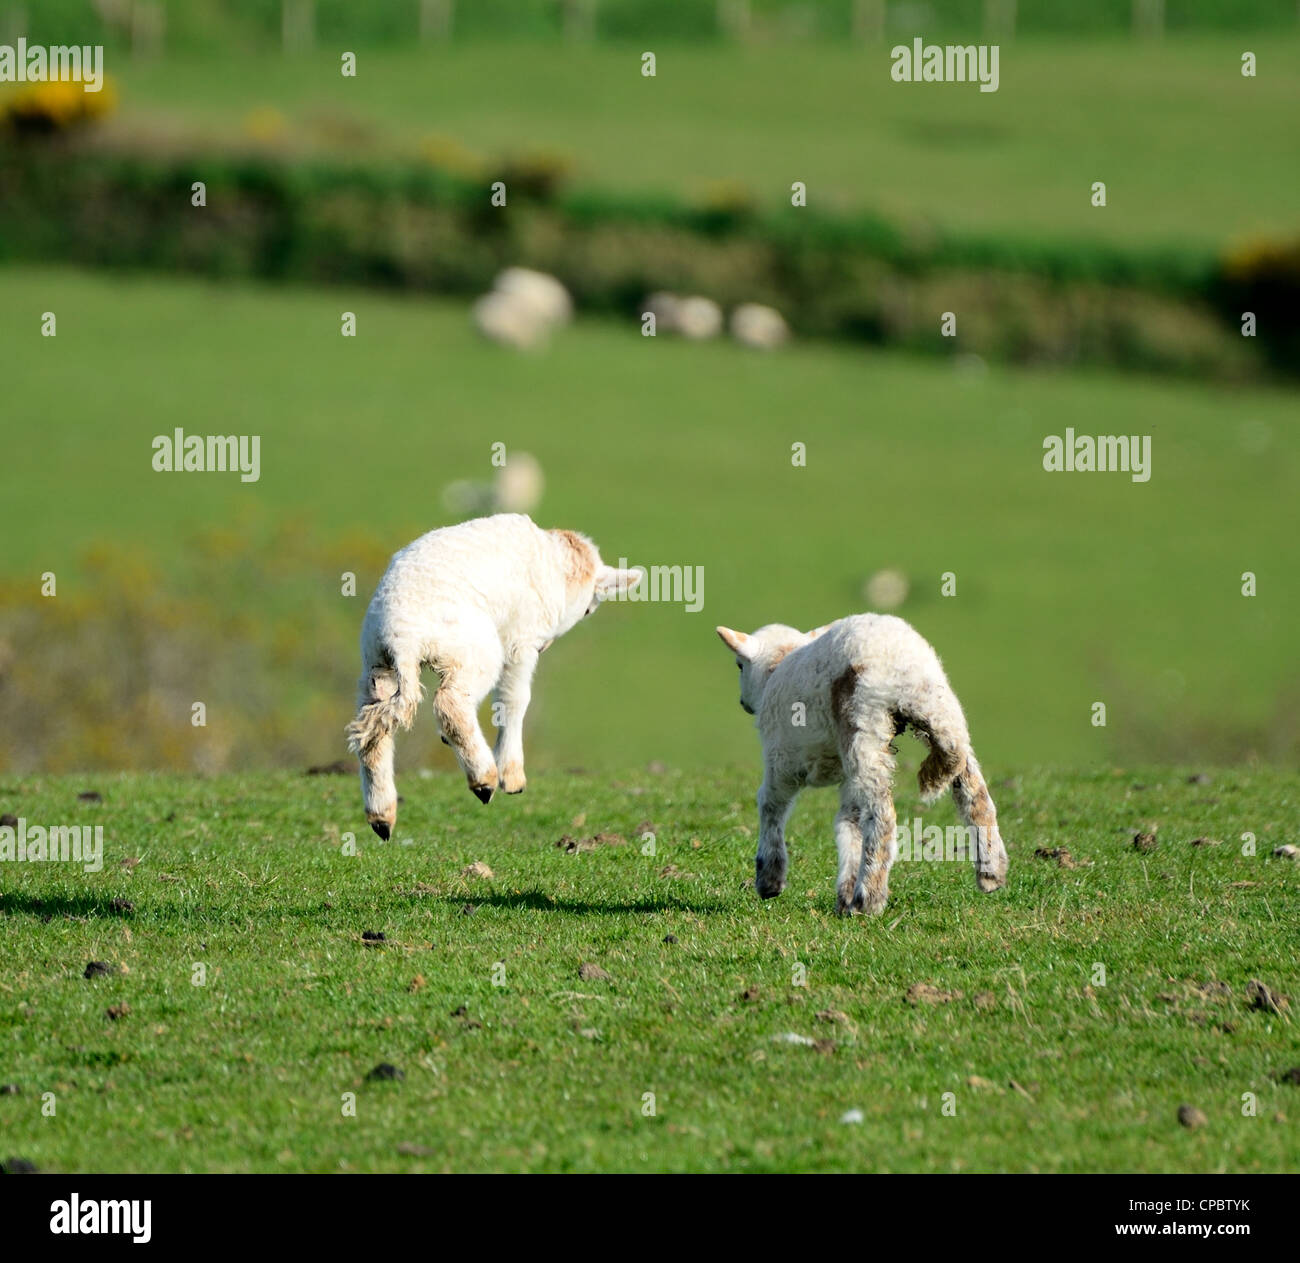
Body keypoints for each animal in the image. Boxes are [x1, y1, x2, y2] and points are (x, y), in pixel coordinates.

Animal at [346, 514, 641, 838]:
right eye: (588, 609)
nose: (545, 646)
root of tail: (400, 638)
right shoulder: (521, 638)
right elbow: (514, 699)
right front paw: (511, 776)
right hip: (476, 648)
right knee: (450, 703)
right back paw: (484, 779)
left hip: (375, 667)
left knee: (372, 733)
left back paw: (381, 817)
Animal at [715, 614, 1009, 916]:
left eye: (739, 665)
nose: (743, 703)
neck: (777, 665)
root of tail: (905, 667)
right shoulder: (845, 776)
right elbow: (850, 824)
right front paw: (844, 894)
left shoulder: (782, 761)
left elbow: (770, 805)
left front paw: (769, 880)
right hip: (942, 715)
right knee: (976, 798)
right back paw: (991, 874)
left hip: (864, 728)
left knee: (883, 818)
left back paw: (868, 898)